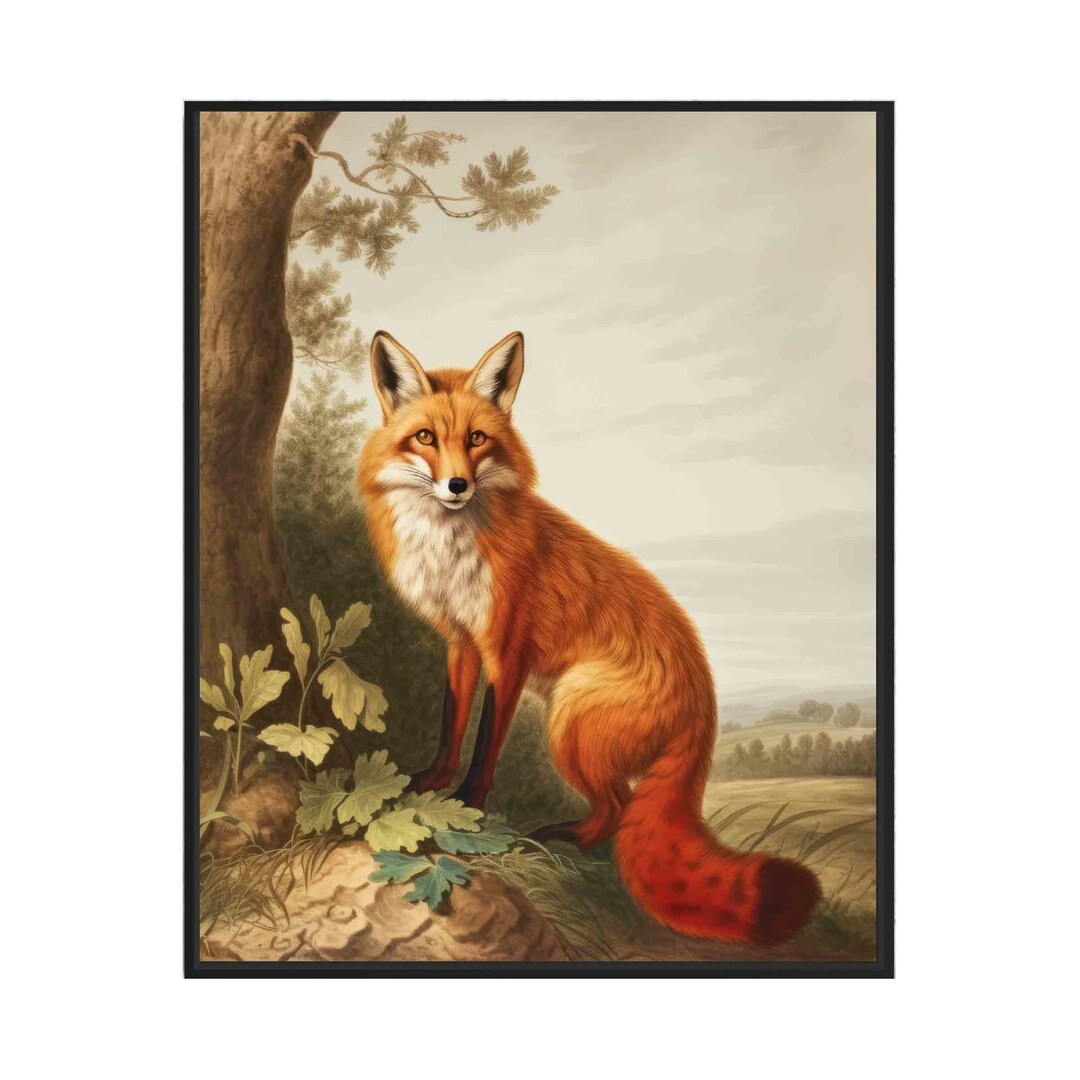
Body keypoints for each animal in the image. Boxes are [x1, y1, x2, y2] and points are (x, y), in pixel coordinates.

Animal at [357, 330, 821, 943]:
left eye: (477, 439)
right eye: (426, 438)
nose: (456, 484)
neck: (449, 547)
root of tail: (707, 701)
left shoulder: (507, 652)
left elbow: (484, 746)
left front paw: (469, 809)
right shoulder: (461, 642)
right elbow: (451, 726)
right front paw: (431, 785)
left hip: (569, 721)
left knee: (619, 810)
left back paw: (563, 839)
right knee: (619, 809)